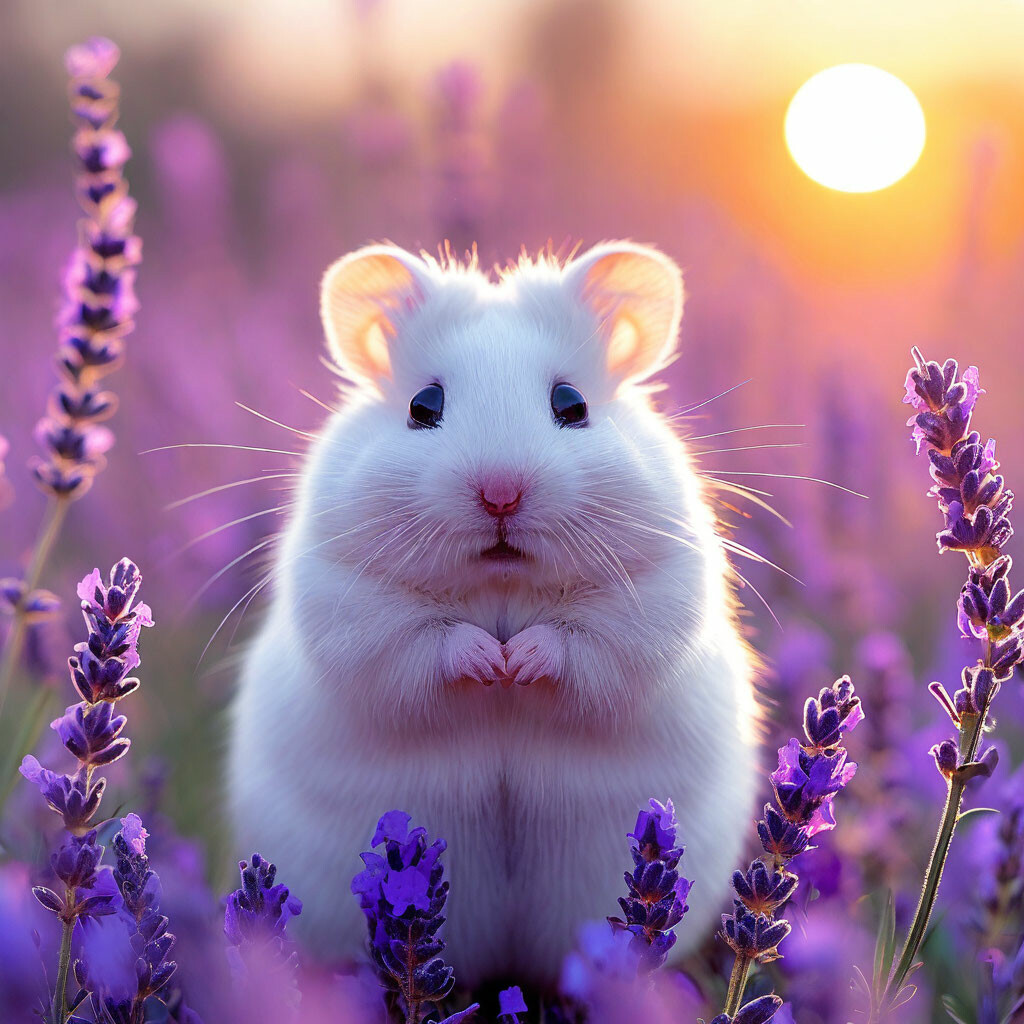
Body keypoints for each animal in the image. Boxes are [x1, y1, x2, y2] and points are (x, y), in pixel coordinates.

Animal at [227, 241, 759, 986]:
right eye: (423, 404)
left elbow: (582, 646)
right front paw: (491, 662)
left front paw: (518, 663)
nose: (501, 493)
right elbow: (427, 644)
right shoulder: (352, 605)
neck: (501, 580)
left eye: (572, 403)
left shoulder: (651, 602)